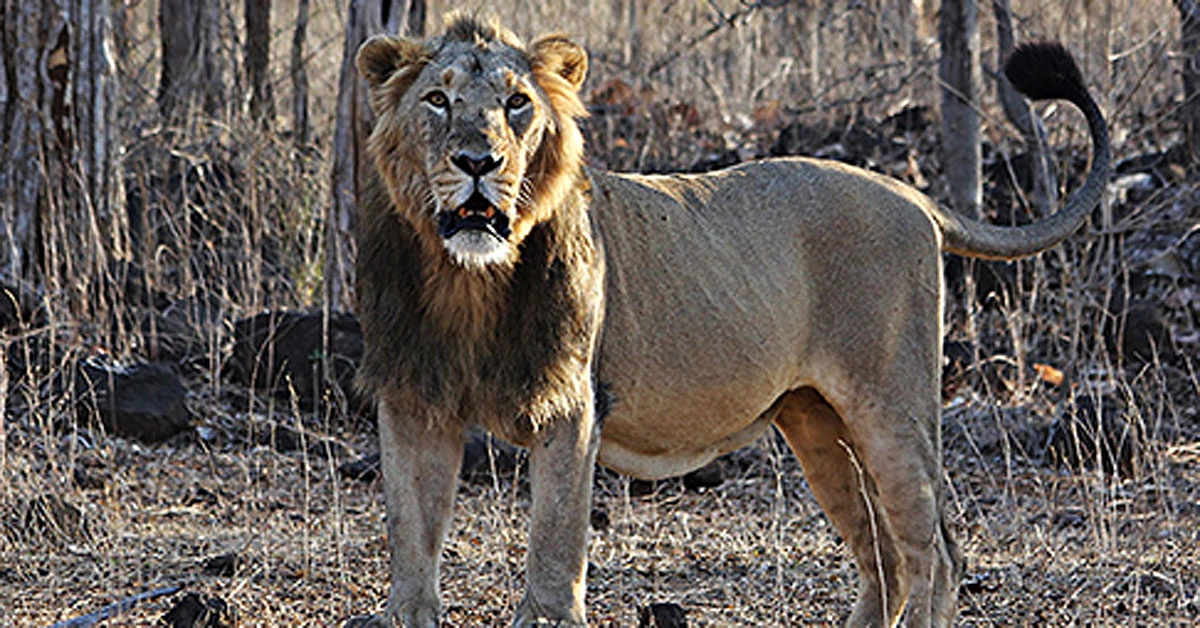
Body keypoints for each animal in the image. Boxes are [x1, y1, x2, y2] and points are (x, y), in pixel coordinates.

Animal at [350, 14, 1108, 628]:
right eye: (438, 99)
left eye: (518, 104)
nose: (478, 162)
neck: (468, 280)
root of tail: (910, 193)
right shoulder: (414, 400)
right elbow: (409, 529)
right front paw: (404, 614)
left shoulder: (571, 404)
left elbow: (555, 537)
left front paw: (545, 618)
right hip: (817, 422)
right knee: (885, 554)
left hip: (890, 405)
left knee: (937, 552)